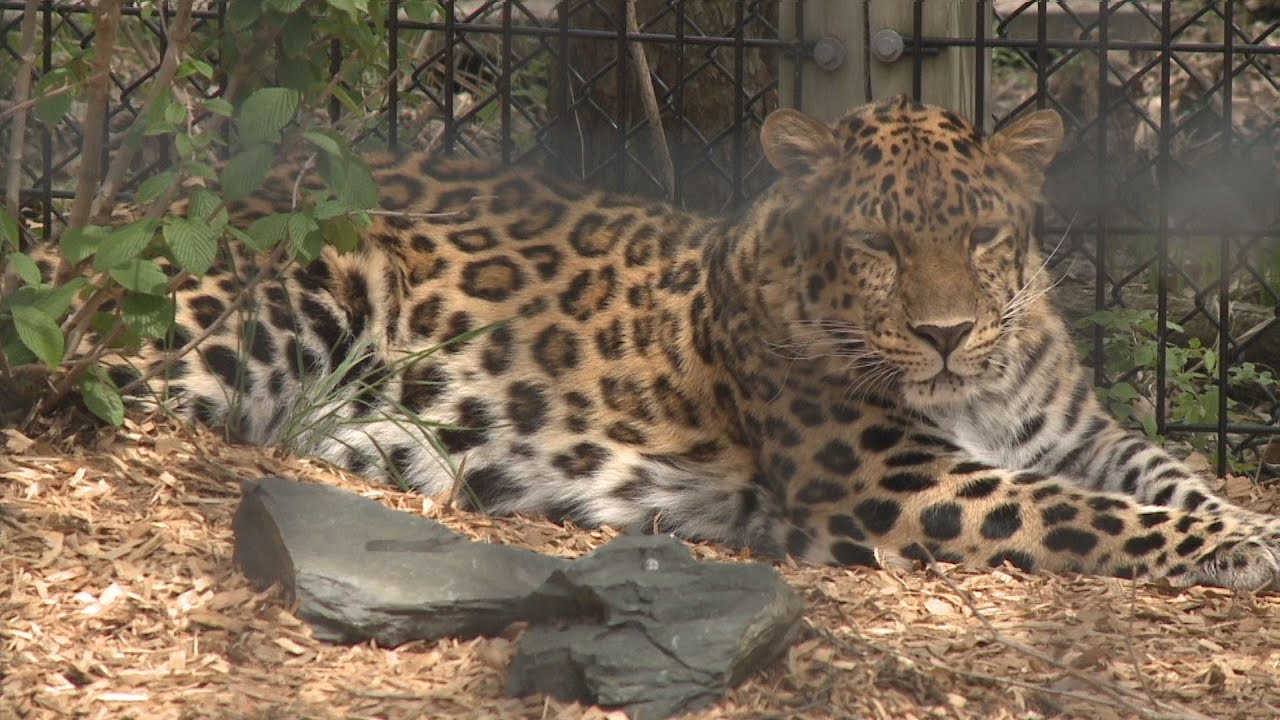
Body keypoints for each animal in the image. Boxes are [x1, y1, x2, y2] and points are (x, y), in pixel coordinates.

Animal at [82, 96, 1280, 591]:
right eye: (877, 245)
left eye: (981, 235)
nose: (944, 336)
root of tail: (157, 197)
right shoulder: (890, 484)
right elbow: (1088, 514)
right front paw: (1242, 550)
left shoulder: (1076, 434)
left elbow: (1163, 475)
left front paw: (1248, 524)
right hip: (269, 305)